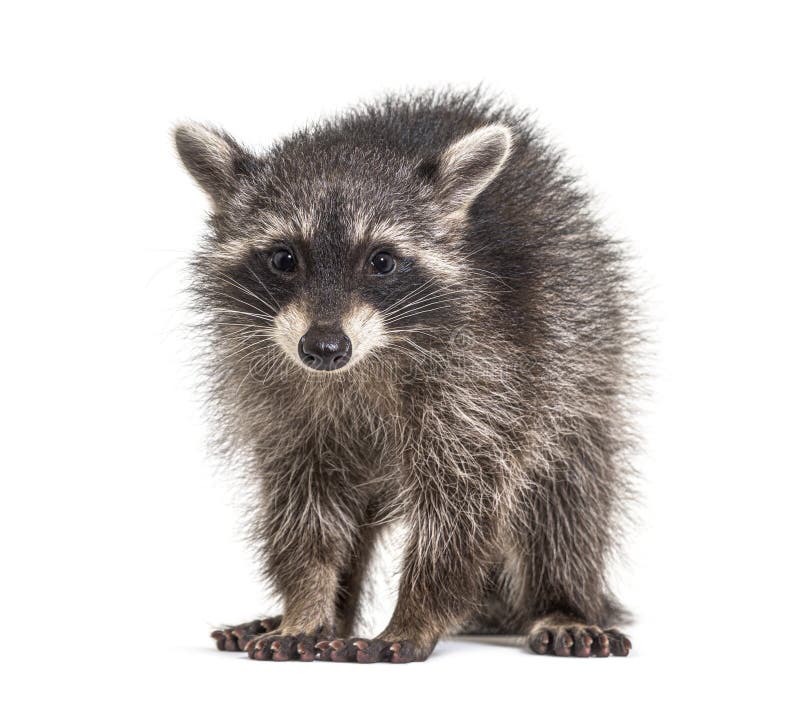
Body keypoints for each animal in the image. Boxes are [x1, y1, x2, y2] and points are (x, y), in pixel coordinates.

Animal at [175, 89, 637, 663]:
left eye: (382, 261)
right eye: (283, 258)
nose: (324, 348)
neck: (362, 361)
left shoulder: (488, 377)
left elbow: (460, 507)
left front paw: (415, 615)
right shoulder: (276, 397)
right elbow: (302, 508)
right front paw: (306, 605)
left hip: (582, 358)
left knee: (567, 495)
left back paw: (564, 601)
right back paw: (333, 616)